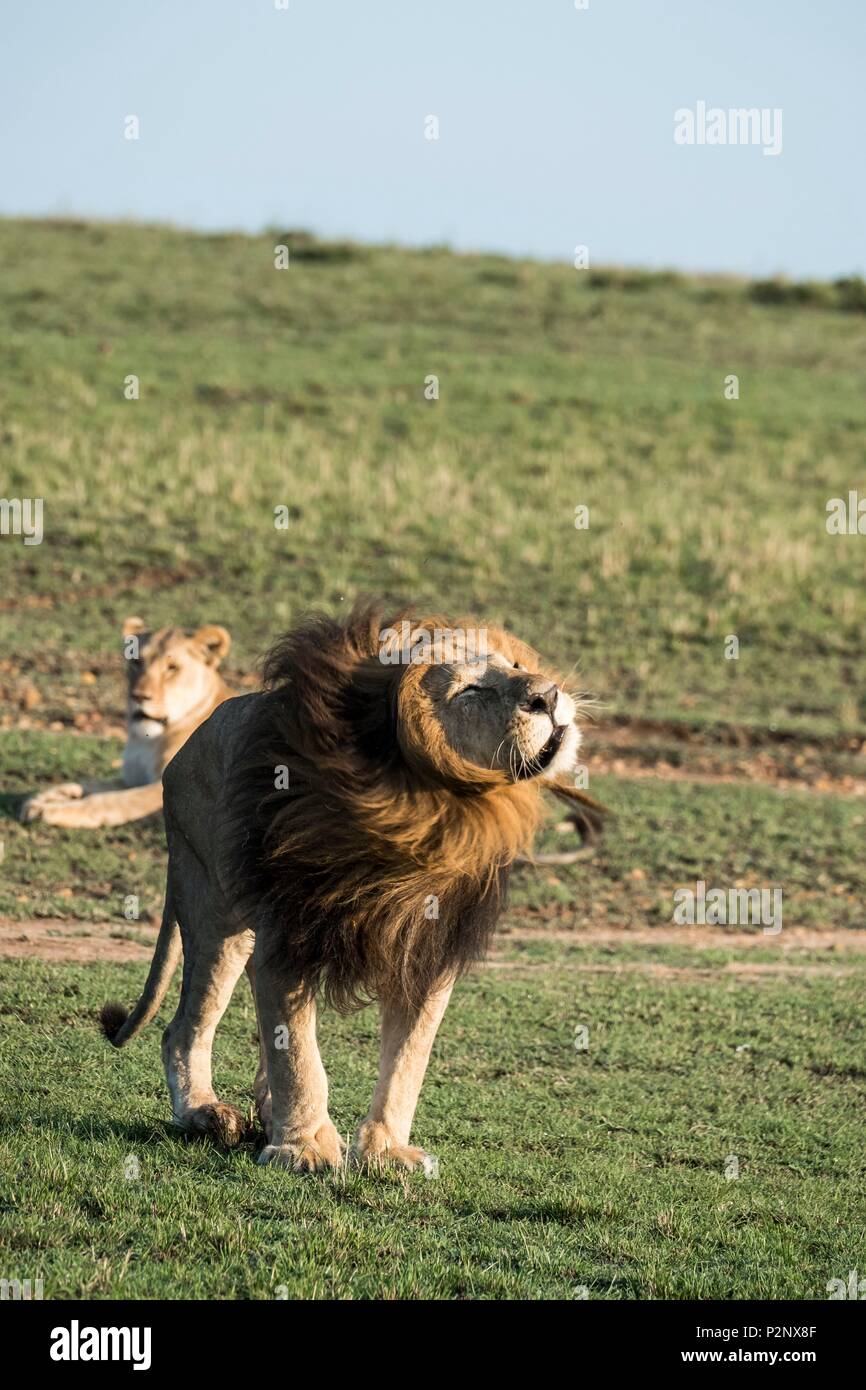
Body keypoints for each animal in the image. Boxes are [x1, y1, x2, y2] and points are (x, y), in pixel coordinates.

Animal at [21, 617, 233, 828]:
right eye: (136, 662)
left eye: (172, 667)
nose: (138, 696)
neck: (148, 741)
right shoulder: (133, 778)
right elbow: (97, 785)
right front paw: (48, 797)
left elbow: (111, 800)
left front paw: (52, 810)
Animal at [100, 600, 603, 1172]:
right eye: (470, 691)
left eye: (515, 668)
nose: (550, 694)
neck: (427, 816)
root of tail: (185, 747)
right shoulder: (286, 930)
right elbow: (297, 1053)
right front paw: (304, 1149)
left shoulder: (429, 948)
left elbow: (407, 1058)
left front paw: (385, 1150)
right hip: (213, 912)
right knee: (185, 1028)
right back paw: (206, 1113)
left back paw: (266, 1113)